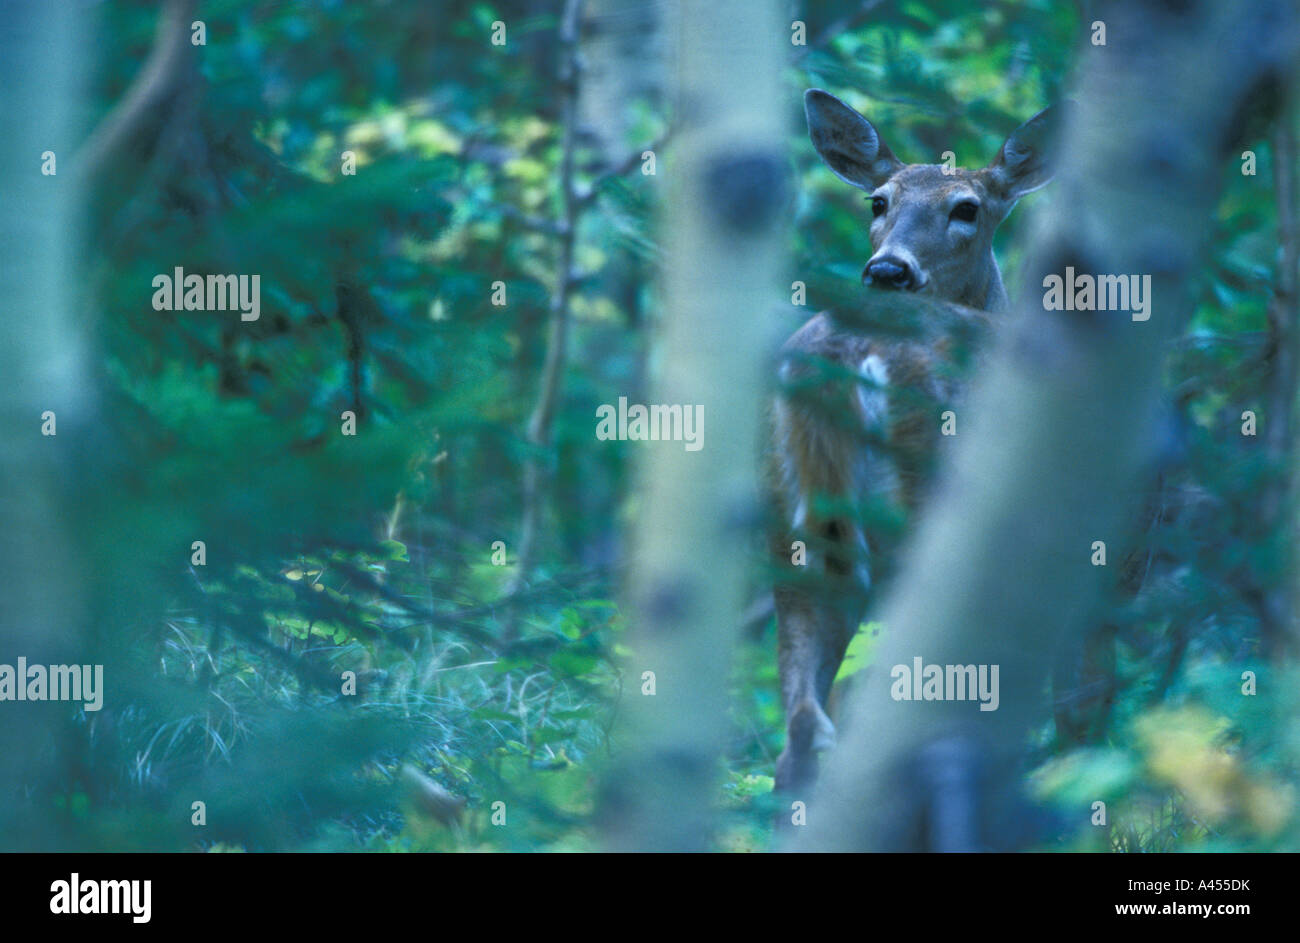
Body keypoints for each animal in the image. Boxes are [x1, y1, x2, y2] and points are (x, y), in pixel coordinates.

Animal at [771, 89, 1066, 796]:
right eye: (877, 202)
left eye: (967, 208)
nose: (887, 270)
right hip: (922, 501)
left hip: (789, 523)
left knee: (803, 724)